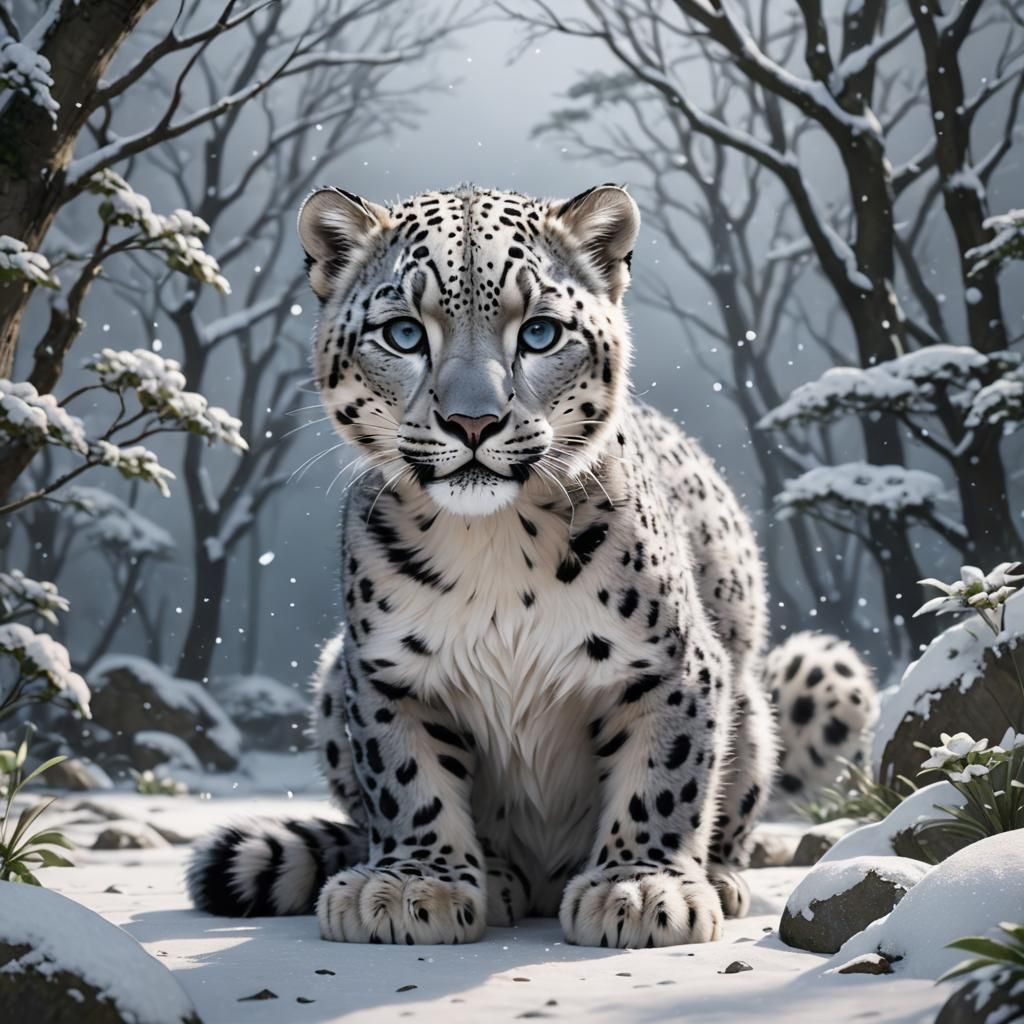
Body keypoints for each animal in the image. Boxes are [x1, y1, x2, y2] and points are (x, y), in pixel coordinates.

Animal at [187, 183, 874, 947]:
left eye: (540, 333)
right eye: (404, 334)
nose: (472, 422)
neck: (493, 548)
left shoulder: (671, 665)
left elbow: (665, 773)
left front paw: (640, 888)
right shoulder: (386, 670)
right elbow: (405, 777)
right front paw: (413, 885)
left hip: (785, 687)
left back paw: (717, 877)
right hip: (333, 676)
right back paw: (490, 878)